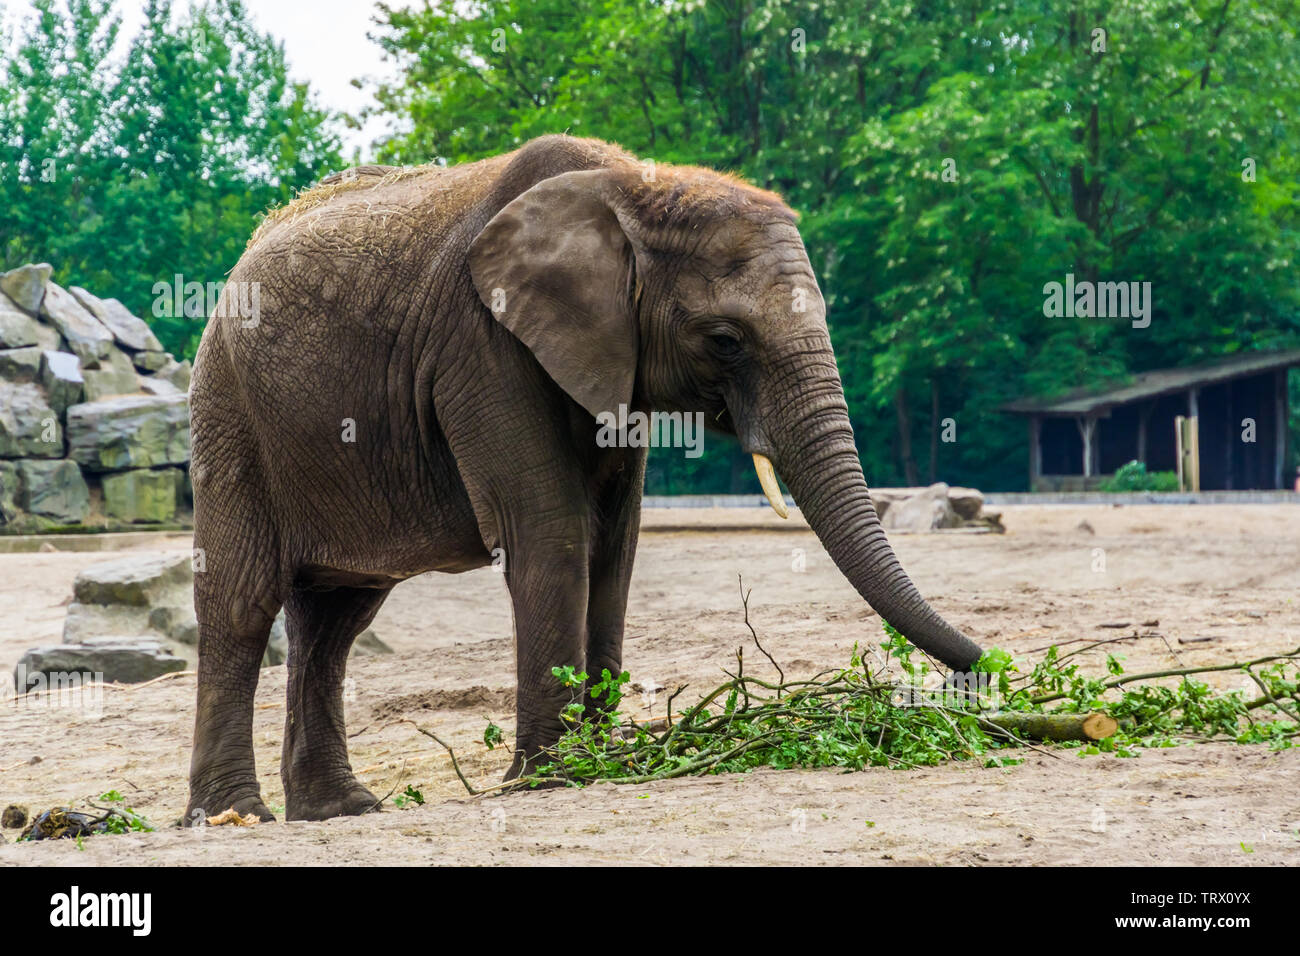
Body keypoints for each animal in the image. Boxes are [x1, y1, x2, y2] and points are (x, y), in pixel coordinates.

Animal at [185, 134, 982, 824]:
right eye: (725, 340)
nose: (973, 677)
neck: (635, 187)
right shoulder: (485, 344)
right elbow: (552, 533)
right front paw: (553, 775)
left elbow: (615, 545)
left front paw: (603, 763)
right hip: (228, 413)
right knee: (242, 602)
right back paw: (234, 815)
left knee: (337, 619)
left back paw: (340, 810)